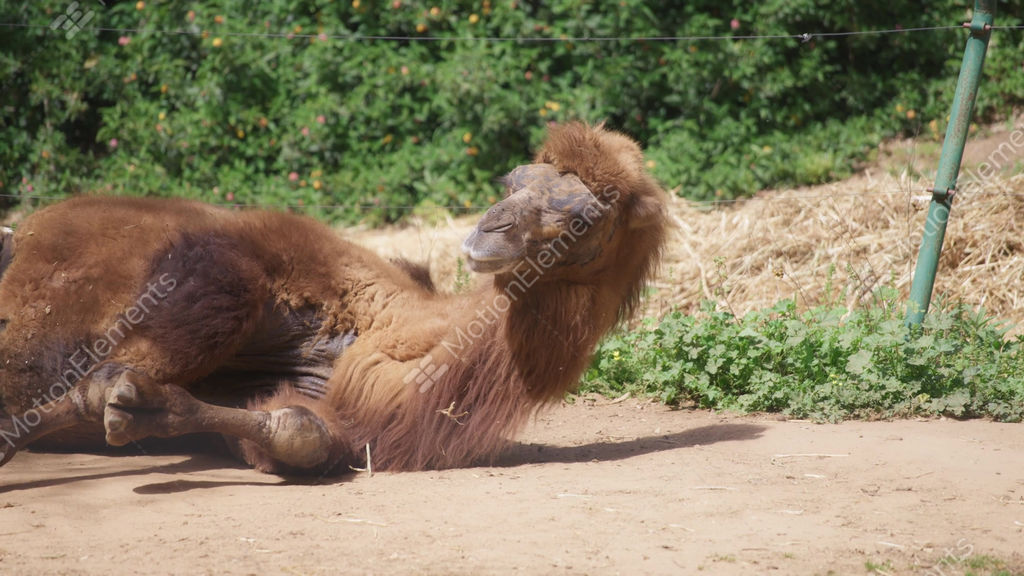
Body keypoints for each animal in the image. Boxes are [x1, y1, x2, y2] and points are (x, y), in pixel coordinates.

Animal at [0, 122, 668, 475]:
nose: (488, 230)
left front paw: (138, 405)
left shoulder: (339, 418)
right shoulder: (233, 264)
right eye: (512, 181)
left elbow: (301, 433)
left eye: (581, 220)